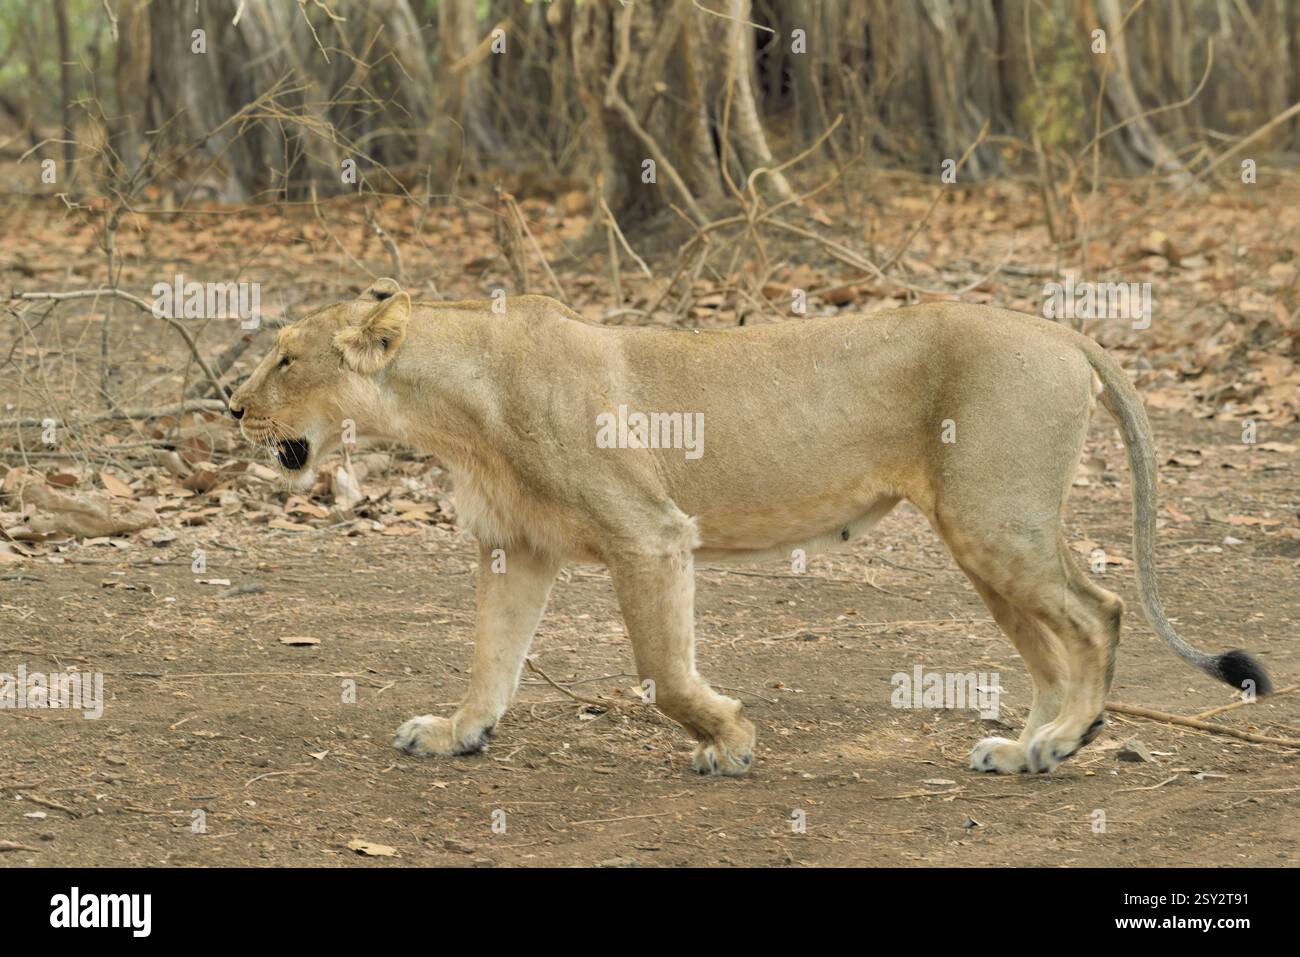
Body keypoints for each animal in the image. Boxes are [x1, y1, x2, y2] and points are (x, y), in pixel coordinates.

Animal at [229, 278, 1272, 776]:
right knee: (1058, 637)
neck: (454, 410)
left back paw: (1062, 743)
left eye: (284, 358)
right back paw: (1030, 745)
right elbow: (492, 657)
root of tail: (1062, 329)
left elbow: (660, 667)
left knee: (1099, 610)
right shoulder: (515, 547)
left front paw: (727, 740)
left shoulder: (649, 531)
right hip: (985, 531)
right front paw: (458, 733)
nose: (229, 405)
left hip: (992, 517)